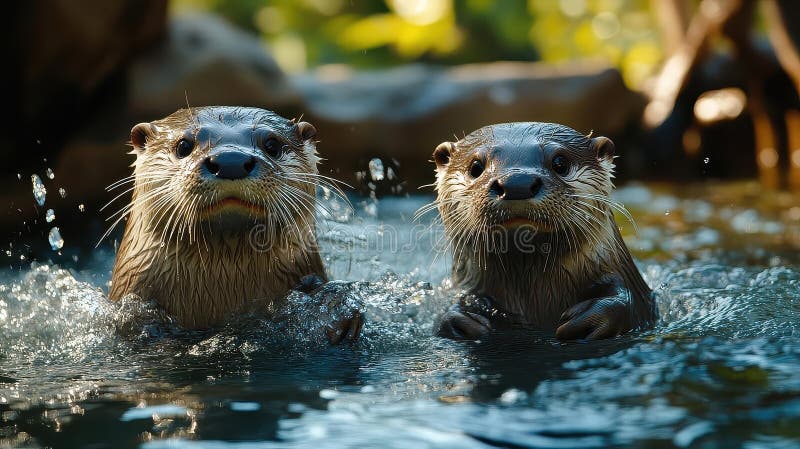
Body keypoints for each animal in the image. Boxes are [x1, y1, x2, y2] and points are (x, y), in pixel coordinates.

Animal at [427, 122, 656, 341]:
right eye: (475, 167)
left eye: (560, 163)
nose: (517, 184)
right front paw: (462, 317)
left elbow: (626, 300)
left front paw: (592, 316)